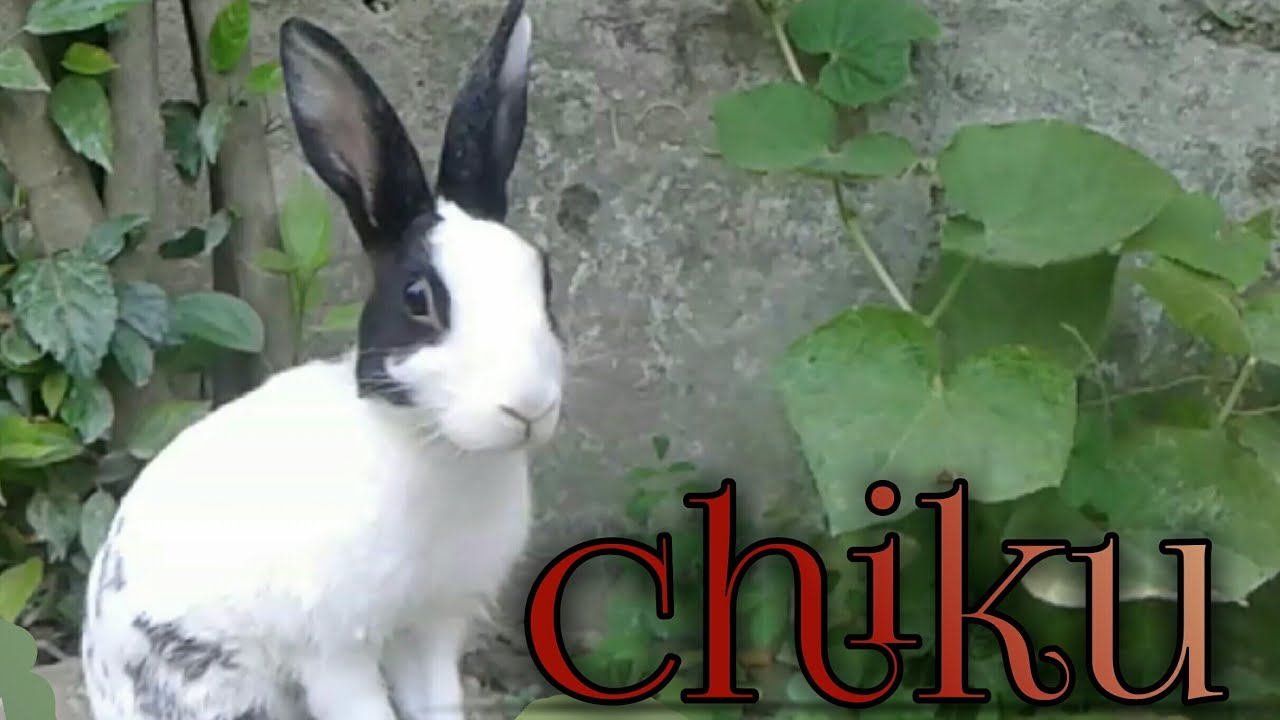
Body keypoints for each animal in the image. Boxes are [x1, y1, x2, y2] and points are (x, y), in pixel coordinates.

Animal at [79, 1, 562, 718]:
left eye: (542, 277)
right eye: (418, 299)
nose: (528, 405)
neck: (433, 448)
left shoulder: (430, 628)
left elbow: (437, 702)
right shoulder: (334, 650)